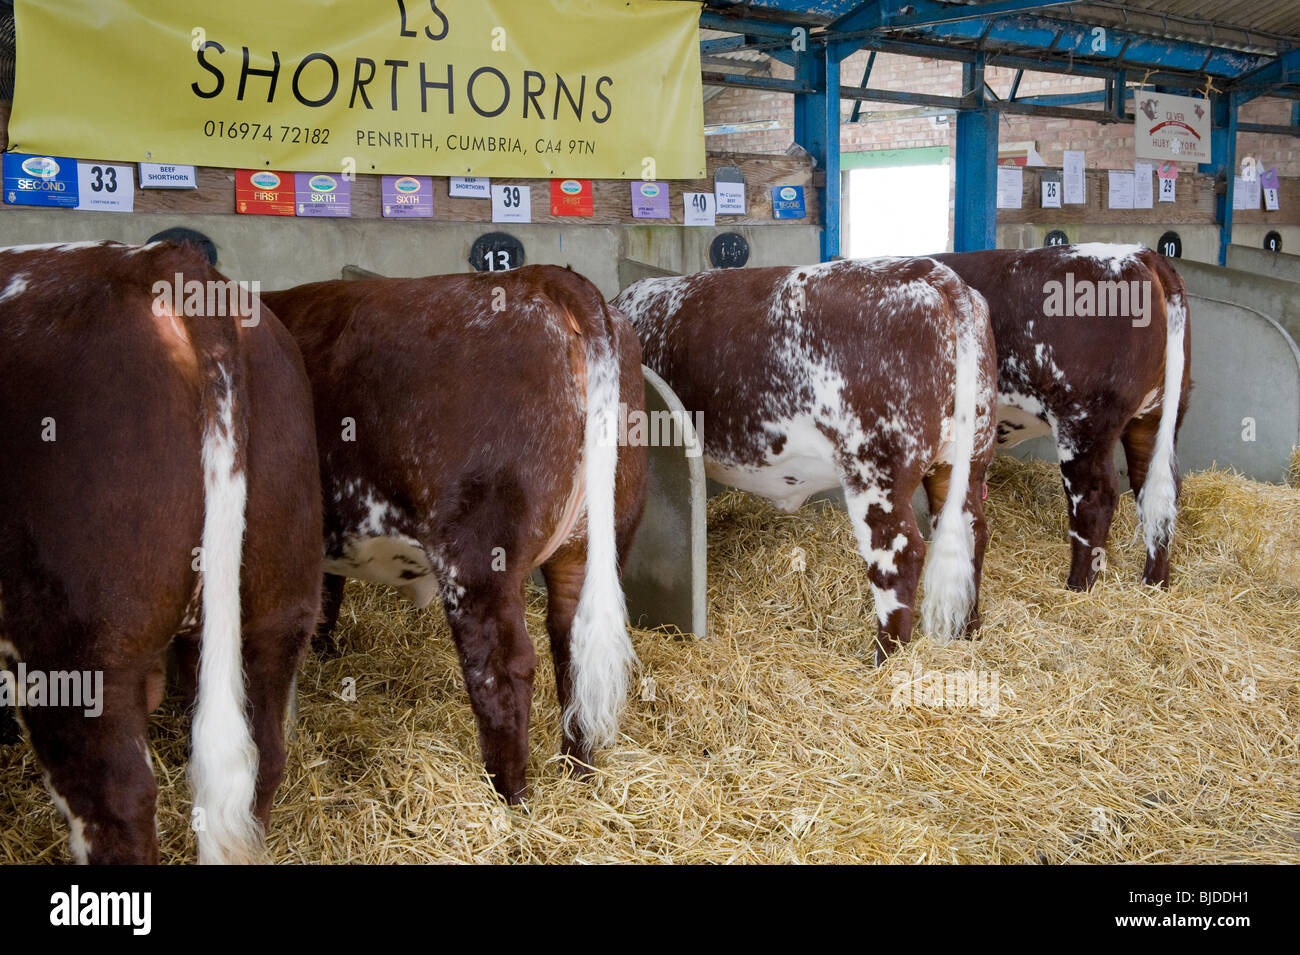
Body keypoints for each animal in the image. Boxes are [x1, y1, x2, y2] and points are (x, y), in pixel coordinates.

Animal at [261, 266, 647, 802]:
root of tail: (541, 280)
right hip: (596, 540)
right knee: (572, 646)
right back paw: (579, 771)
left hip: (479, 554)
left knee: (502, 666)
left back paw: (510, 795)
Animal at [614, 258, 998, 663]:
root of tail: (929, 270)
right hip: (965, 460)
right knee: (972, 533)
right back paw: (969, 633)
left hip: (876, 473)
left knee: (901, 554)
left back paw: (885, 659)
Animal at [932, 245, 1190, 590]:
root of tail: (1139, 254)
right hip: (1155, 417)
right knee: (1156, 488)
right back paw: (1154, 582)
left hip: (1084, 423)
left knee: (1096, 497)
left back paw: (1078, 585)